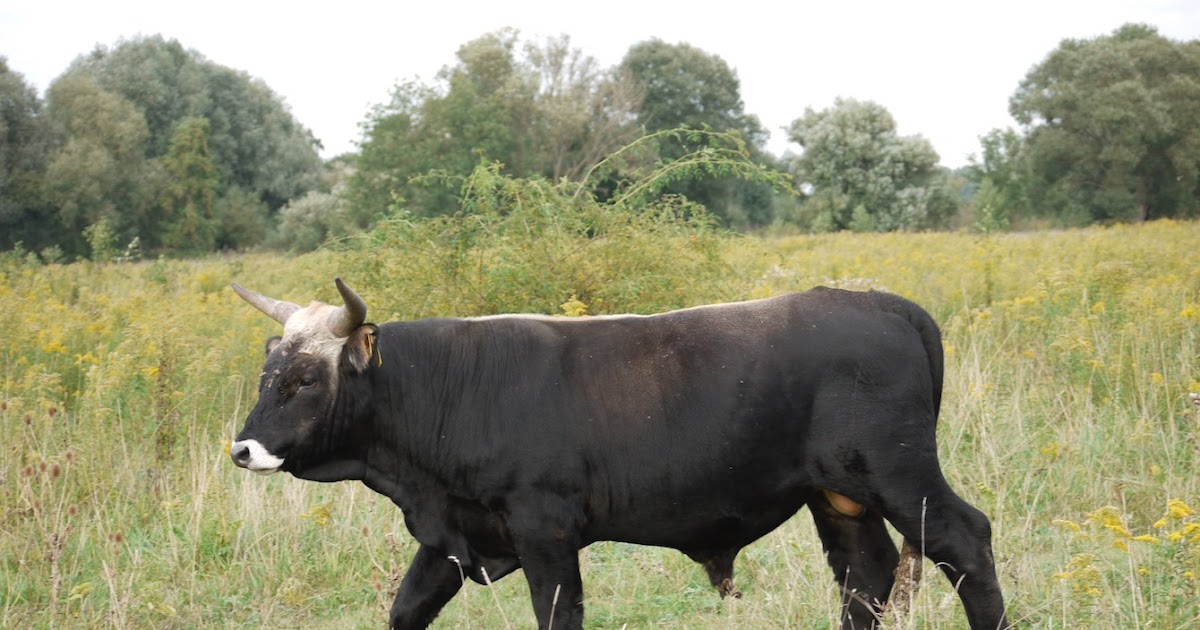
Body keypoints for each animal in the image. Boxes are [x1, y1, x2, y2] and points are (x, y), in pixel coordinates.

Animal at [229, 278, 1010, 629]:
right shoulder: (452, 537)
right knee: (866, 574)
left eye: (305, 380)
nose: (243, 448)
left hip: (901, 476)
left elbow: (558, 616)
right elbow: (405, 610)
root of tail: (881, 301)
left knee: (964, 541)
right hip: (839, 499)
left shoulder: (544, 531)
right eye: (269, 371)